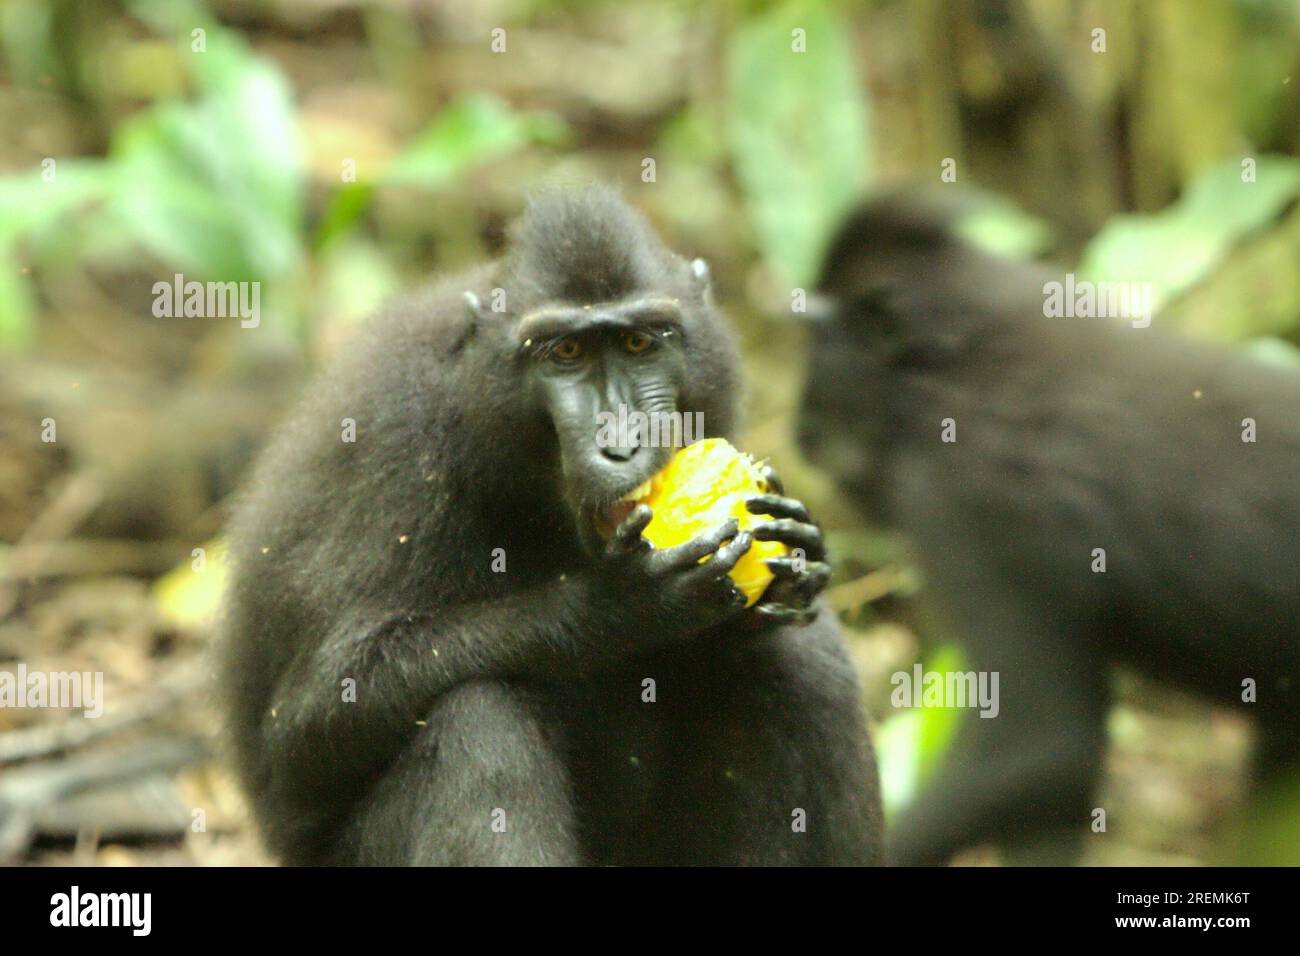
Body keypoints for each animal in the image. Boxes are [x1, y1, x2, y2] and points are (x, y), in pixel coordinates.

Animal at [218, 185, 882, 866]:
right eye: (566, 353)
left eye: (640, 344)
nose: (620, 442)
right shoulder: (395, 447)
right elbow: (311, 722)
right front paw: (619, 606)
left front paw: (805, 560)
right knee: (477, 721)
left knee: (802, 659)